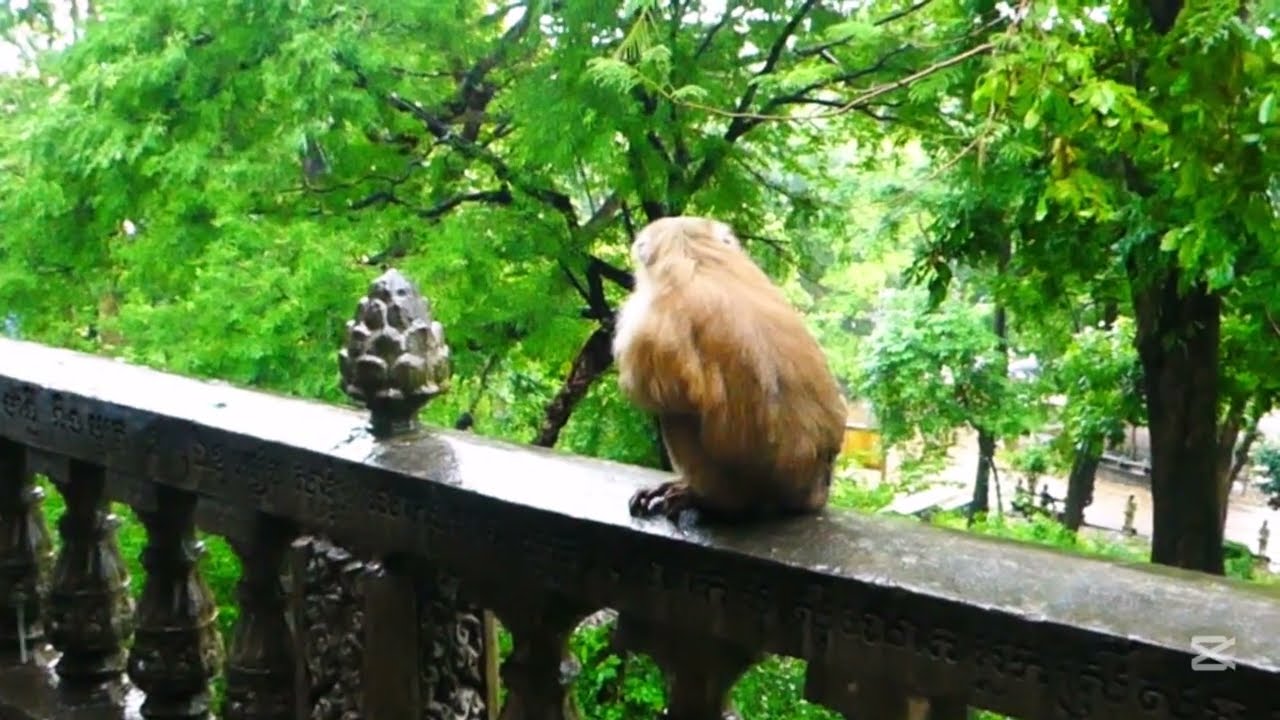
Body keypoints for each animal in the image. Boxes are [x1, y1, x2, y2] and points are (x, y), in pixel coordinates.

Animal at [611, 216, 847, 524]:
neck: (697, 258)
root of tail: (810, 493)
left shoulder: (645, 326)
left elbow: (667, 399)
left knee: (675, 416)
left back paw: (703, 498)